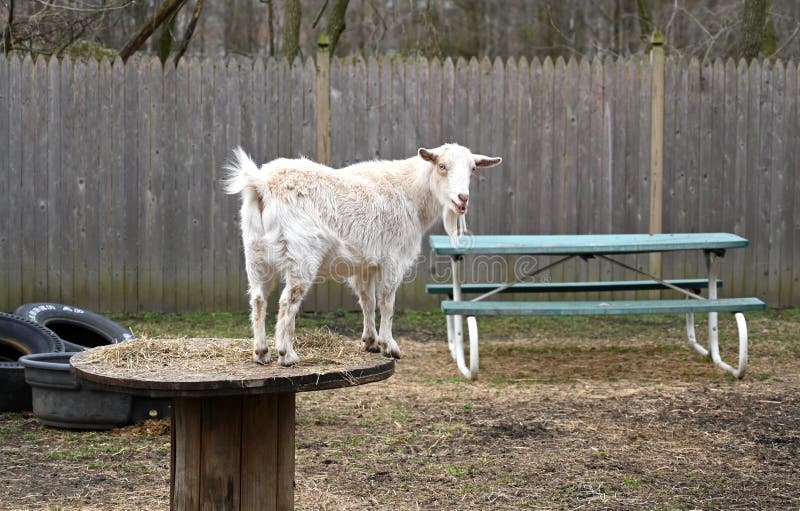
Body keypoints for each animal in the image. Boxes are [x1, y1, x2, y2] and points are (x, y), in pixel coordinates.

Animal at [224, 144, 502, 366]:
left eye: (473, 169)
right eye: (442, 166)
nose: (462, 198)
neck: (410, 193)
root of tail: (261, 186)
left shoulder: (365, 264)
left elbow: (367, 300)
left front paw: (371, 341)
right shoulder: (392, 260)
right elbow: (387, 302)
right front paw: (390, 345)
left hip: (255, 254)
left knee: (258, 299)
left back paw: (261, 352)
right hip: (301, 256)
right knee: (286, 301)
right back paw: (287, 354)